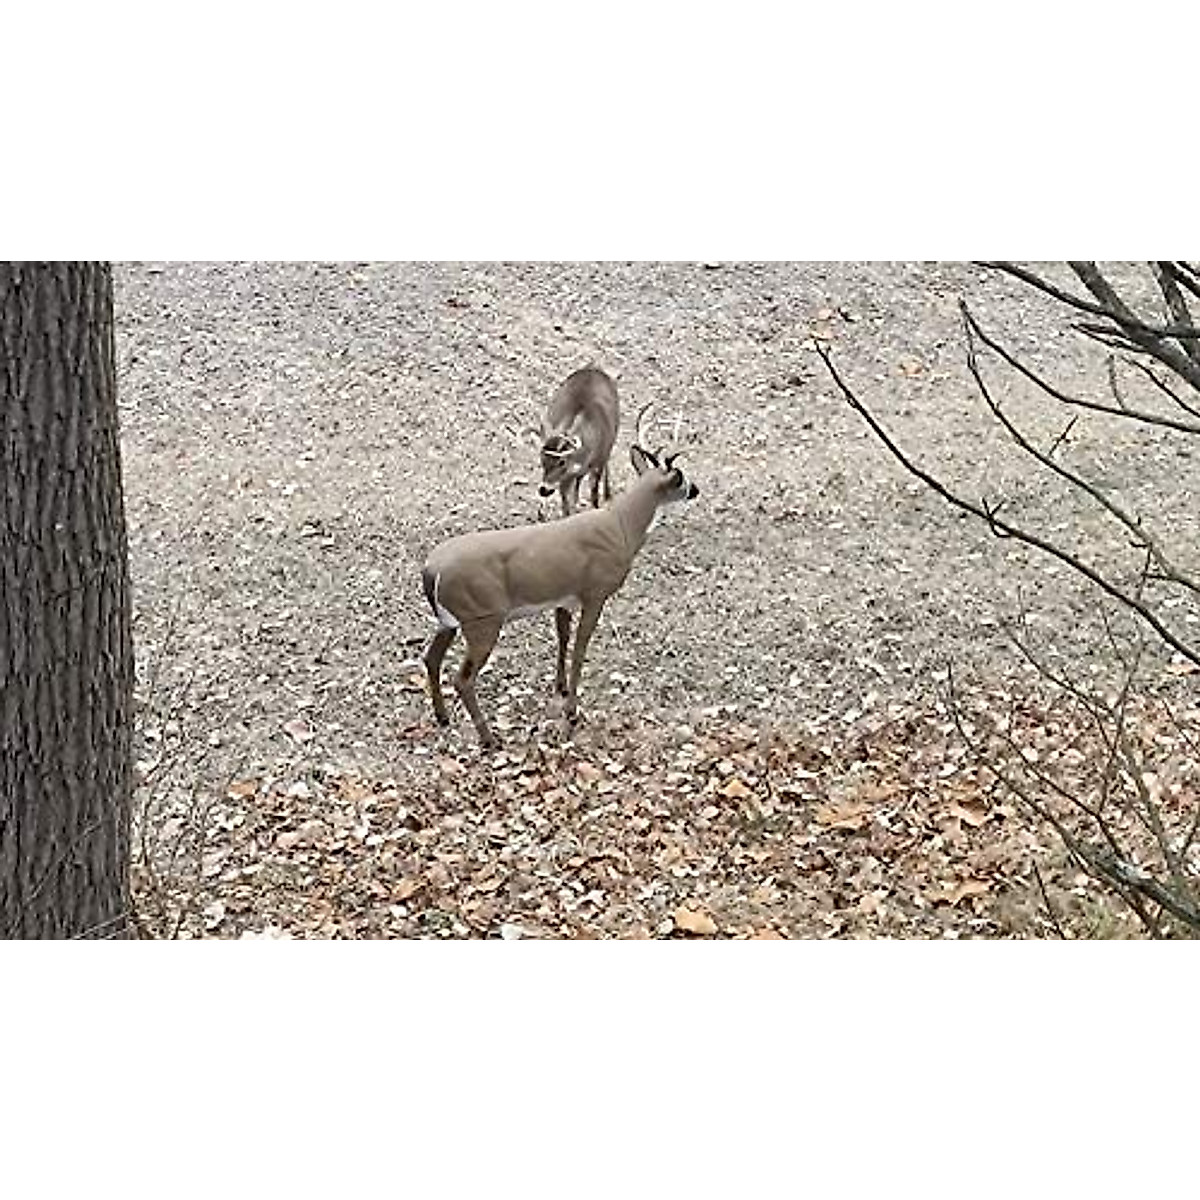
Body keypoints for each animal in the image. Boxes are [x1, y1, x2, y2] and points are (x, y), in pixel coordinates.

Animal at [422, 406, 698, 747]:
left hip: (448, 621)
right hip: (482, 618)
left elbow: (563, 637)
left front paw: (561, 689)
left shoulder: (563, 596)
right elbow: (580, 648)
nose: (696, 490)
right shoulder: (595, 591)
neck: (621, 527)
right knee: (462, 678)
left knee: (431, 658)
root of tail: (430, 571)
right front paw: (571, 711)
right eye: (681, 477)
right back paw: (488, 739)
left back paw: (443, 717)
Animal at [533, 366, 620, 517]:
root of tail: (594, 369)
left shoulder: (598, 462)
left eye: (561, 462)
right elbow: (566, 505)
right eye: (542, 458)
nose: (544, 490)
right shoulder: (566, 477)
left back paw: (607, 494)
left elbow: (594, 495)